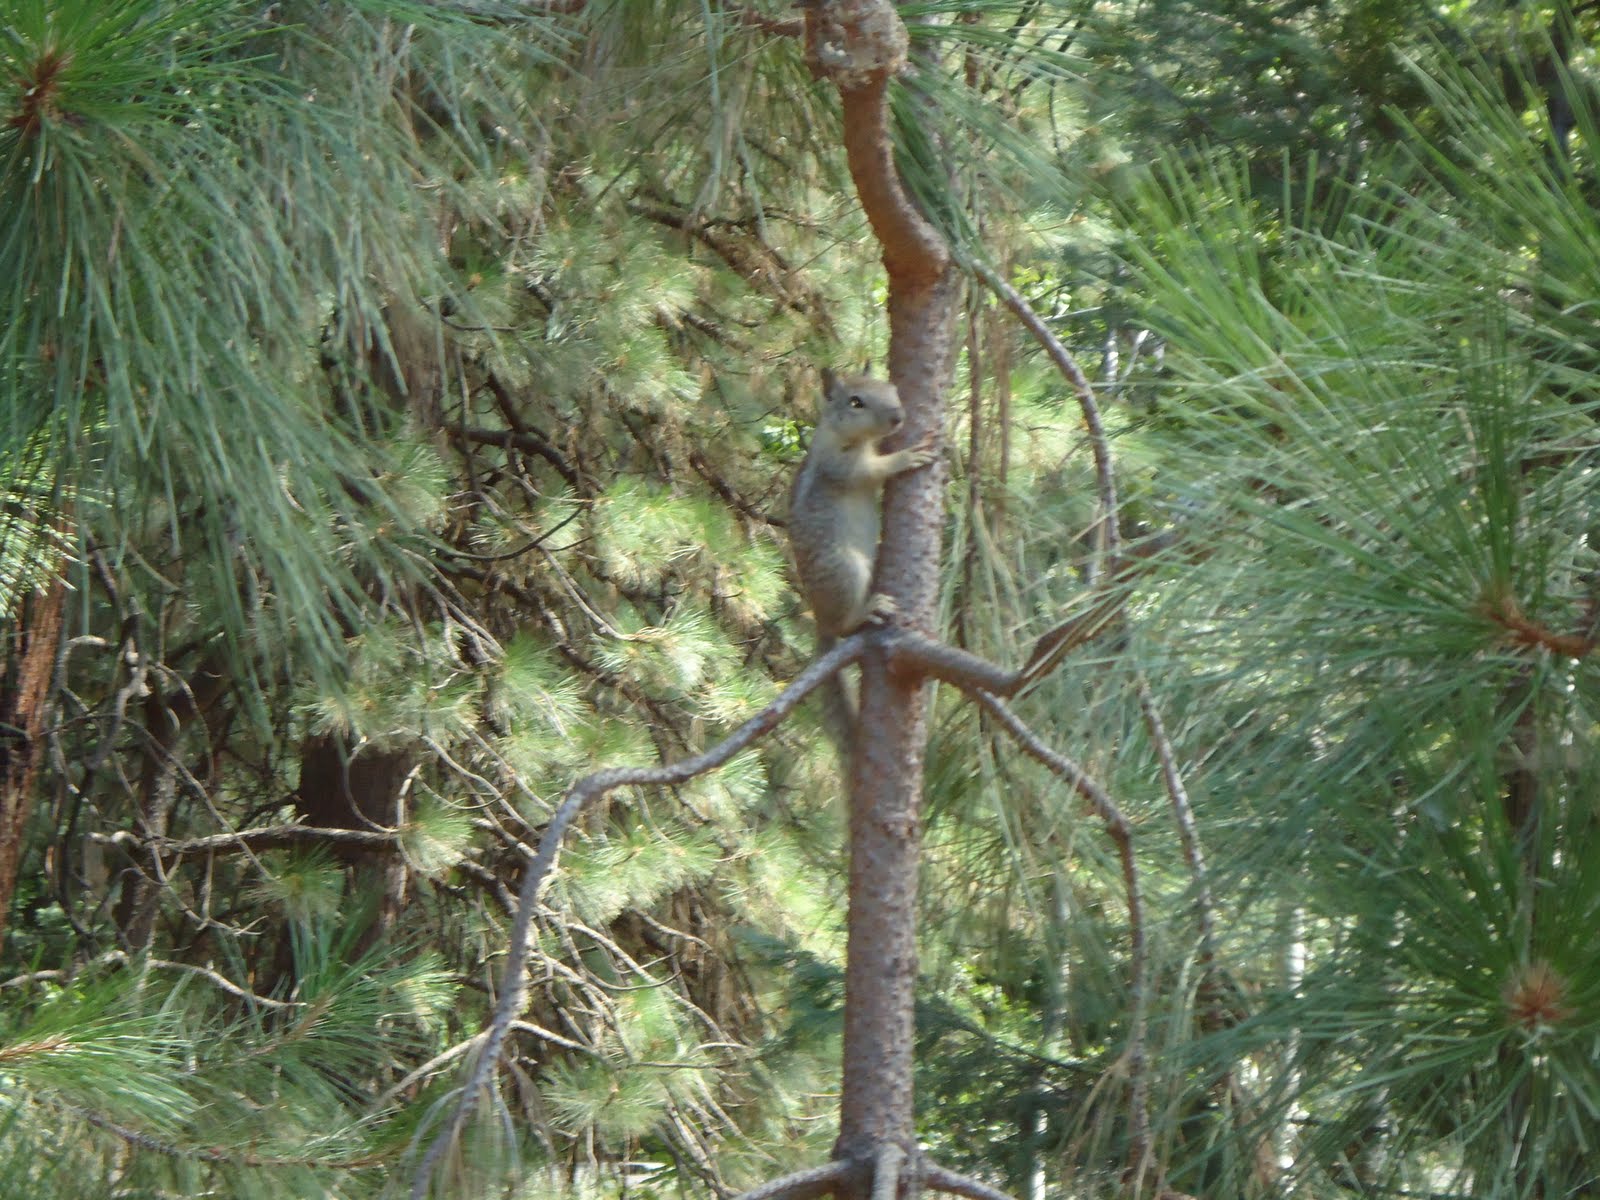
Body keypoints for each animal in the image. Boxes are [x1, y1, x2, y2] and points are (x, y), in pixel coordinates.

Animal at [789, 367, 937, 756]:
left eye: (891, 388)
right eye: (855, 402)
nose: (898, 417)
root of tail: (820, 618)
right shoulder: (837, 464)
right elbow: (867, 472)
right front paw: (906, 457)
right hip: (846, 570)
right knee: (844, 625)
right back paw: (867, 609)